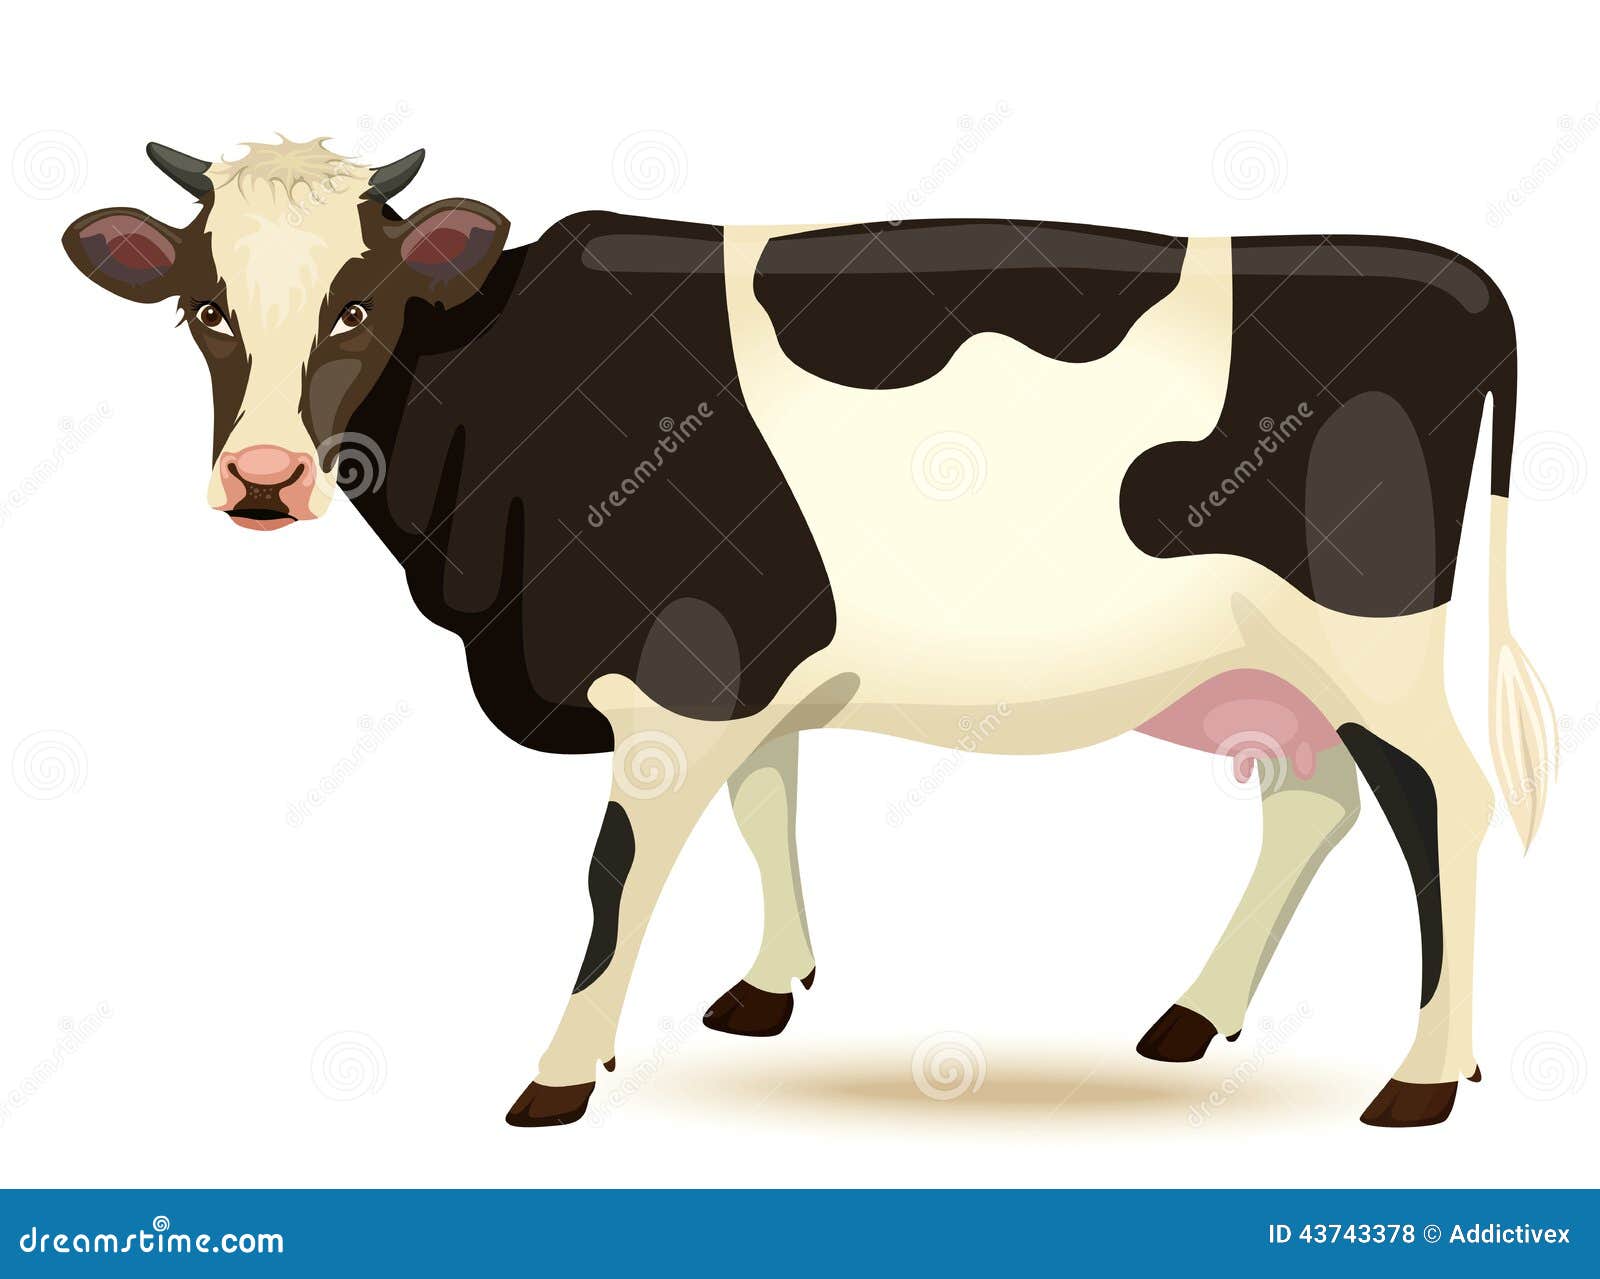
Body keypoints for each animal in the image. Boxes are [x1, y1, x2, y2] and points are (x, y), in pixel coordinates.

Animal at [63, 138, 1556, 1129]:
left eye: (360, 305)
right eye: (204, 308)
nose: (263, 476)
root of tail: (1465, 280)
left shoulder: (678, 667)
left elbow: (615, 875)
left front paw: (560, 1071)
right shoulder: (744, 660)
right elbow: (764, 800)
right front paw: (766, 987)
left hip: (1371, 634)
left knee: (1445, 800)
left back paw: (1423, 1077)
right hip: (1267, 664)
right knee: (1311, 797)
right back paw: (1196, 1015)